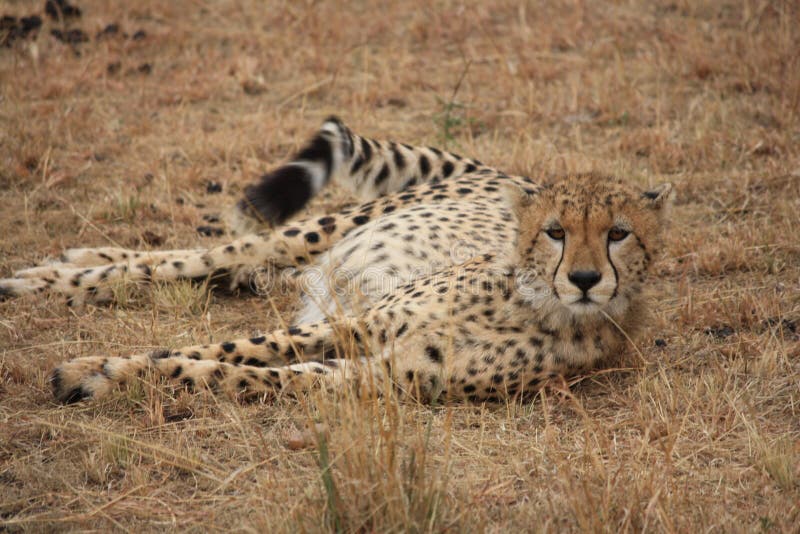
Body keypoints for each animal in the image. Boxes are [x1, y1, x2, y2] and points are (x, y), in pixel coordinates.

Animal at [0, 117, 673, 404]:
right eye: (556, 232)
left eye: (618, 234)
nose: (584, 280)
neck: (527, 303)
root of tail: (513, 174)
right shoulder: (360, 324)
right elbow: (233, 348)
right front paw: (95, 365)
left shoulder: (378, 375)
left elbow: (236, 372)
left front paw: (109, 375)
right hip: (318, 230)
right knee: (198, 256)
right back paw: (51, 276)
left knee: (226, 268)